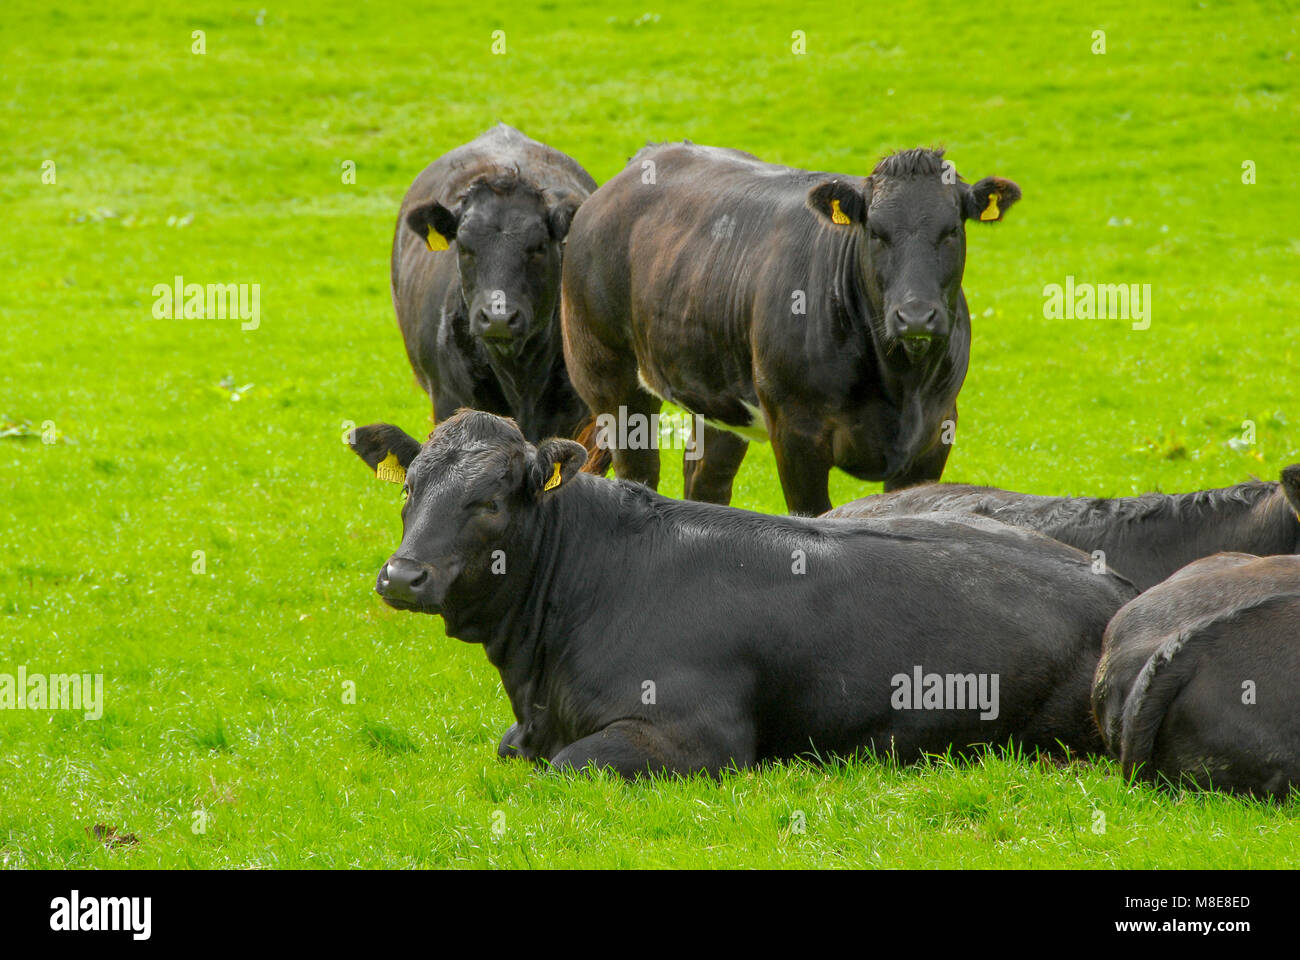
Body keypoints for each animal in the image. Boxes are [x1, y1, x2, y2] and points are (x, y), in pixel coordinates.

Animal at [346, 409, 1136, 780]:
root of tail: (1112, 581)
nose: (401, 576)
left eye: (488, 501)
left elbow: (569, 767)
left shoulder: (694, 737)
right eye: (410, 489)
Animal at [560, 143, 1020, 515]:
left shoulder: (936, 432)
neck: (899, 383)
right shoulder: (797, 432)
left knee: (706, 478)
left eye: (952, 229)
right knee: (638, 469)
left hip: (718, 395)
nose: (916, 315)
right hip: (608, 378)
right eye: (875, 231)